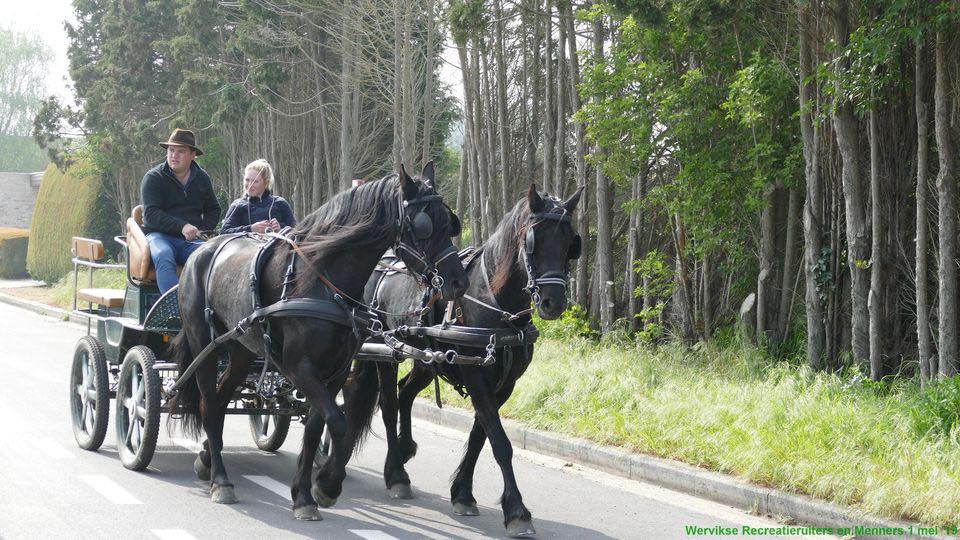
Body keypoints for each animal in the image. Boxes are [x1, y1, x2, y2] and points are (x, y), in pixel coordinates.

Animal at [167, 163, 469, 521]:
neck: (321, 281)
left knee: (219, 399)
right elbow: (337, 422)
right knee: (209, 403)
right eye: (422, 225)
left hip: (241, 350)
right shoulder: (300, 369)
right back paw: (221, 481)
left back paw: (206, 460)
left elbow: (318, 426)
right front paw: (326, 484)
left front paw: (308, 492)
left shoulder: (335, 371)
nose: (459, 281)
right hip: (205, 345)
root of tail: (203, 248)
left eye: (450, 221)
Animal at [335, 184, 583, 537]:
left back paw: (404, 448)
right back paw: (396, 474)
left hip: (427, 359)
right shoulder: (477, 377)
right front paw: (516, 510)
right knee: (388, 404)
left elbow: (480, 437)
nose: (553, 302)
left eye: (570, 243)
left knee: (404, 393)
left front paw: (463, 493)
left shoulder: (504, 384)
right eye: (533, 241)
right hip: (384, 351)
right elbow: (500, 442)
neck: (497, 307)